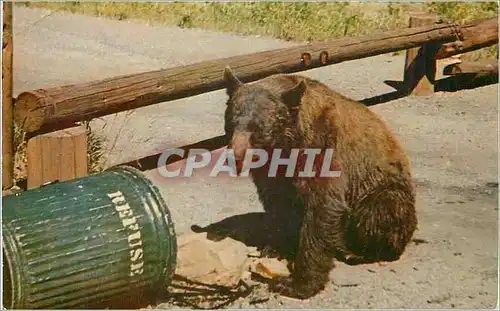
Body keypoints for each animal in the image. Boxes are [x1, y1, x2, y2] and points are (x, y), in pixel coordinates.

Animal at [222, 67, 418, 302]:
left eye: (258, 129)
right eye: (231, 123)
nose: (235, 157)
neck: (288, 146)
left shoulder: (324, 149)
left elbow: (321, 209)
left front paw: (296, 283)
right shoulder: (275, 173)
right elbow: (280, 206)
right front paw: (275, 248)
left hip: (381, 188)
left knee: (381, 209)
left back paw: (358, 252)